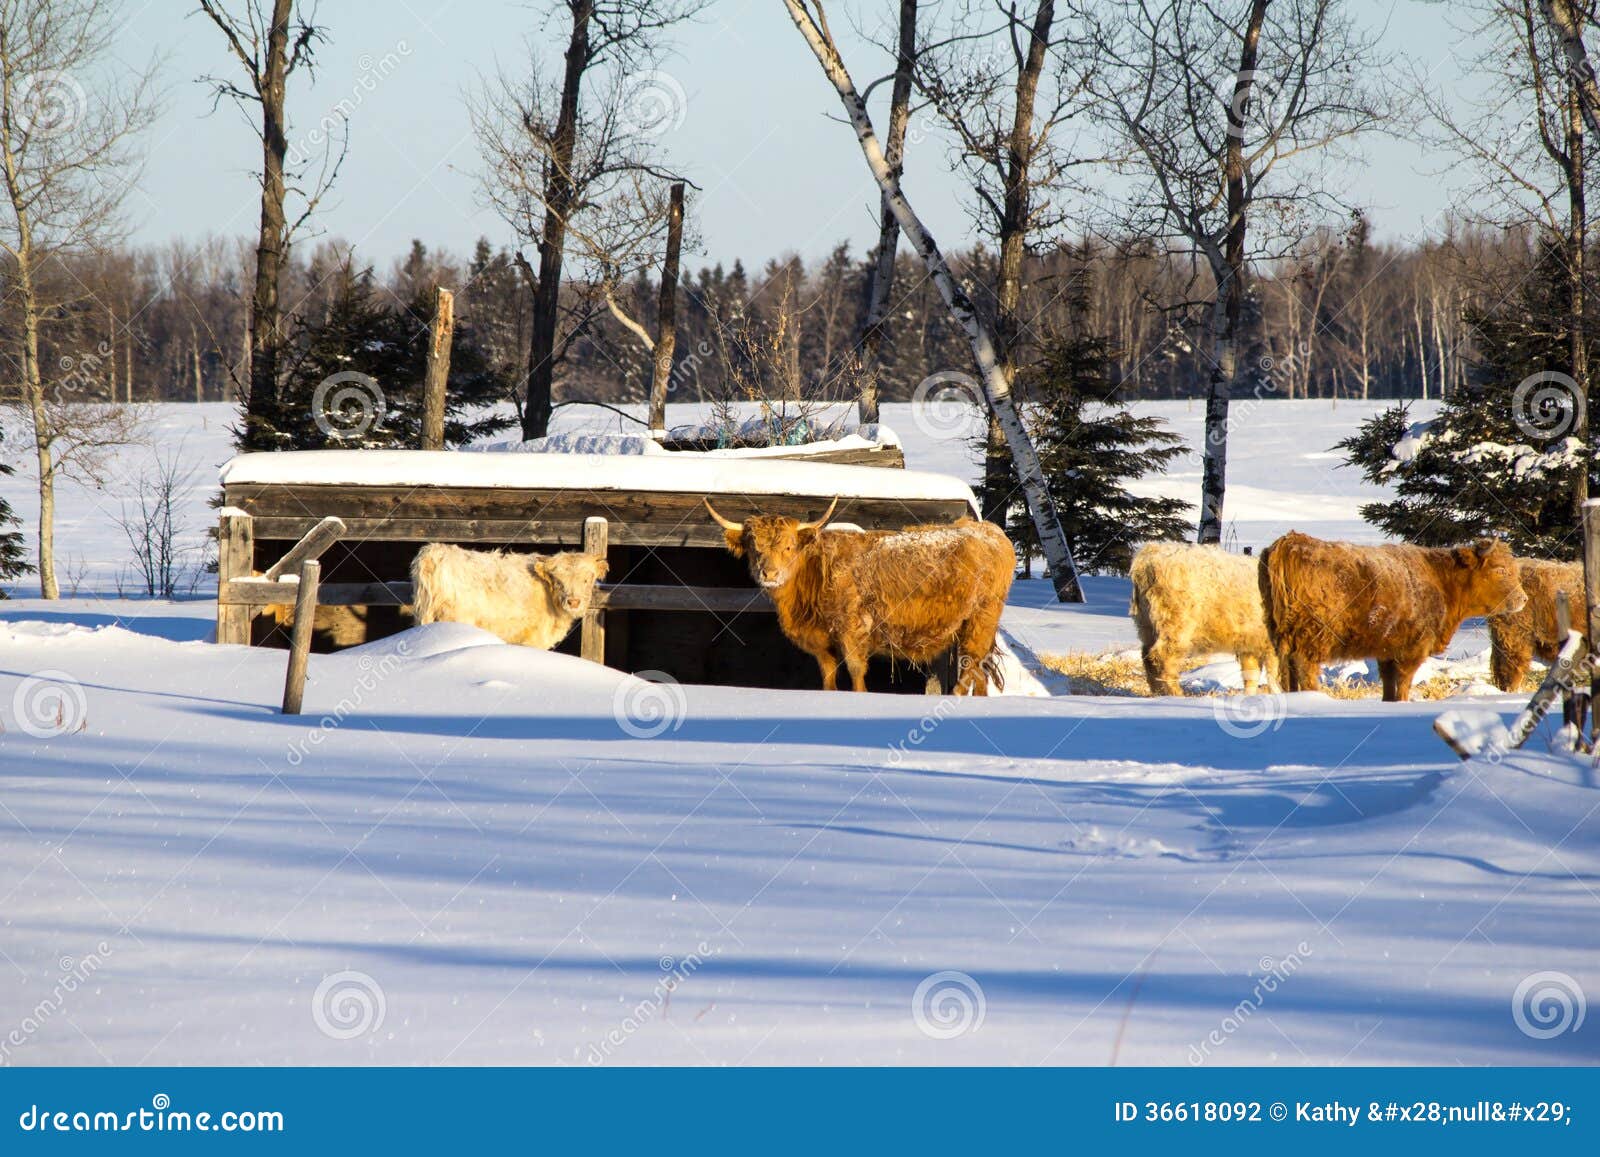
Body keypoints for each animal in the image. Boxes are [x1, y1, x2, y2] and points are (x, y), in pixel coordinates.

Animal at [704, 498, 1014, 694]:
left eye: (789, 547)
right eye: (754, 547)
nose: (768, 573)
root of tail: (990, 531)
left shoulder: (851, 630)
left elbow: (855, 670)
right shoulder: (823, 642)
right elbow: (828, 675)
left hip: (981, 617)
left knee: (971, 663)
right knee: (979, 670)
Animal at [1129, 542, 1279, 696]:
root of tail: (1149, 555)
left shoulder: (1250, 645)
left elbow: (1251, 677)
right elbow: (1274, 677)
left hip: (1147, 626)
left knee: (1147, 658)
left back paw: (1159, 693)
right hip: (1175, 625)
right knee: (1162, 658)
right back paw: (1177, 694)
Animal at [1258, 531, 1526, 702]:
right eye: (1500, 570)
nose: (1523, 599)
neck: (1441, 581)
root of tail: (1290, 542)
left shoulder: (1388, 649)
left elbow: (1389, 684)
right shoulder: (1414, 648)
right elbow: (1403, 683)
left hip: (1283, 637)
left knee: (1289, 673)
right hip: (1311, 637)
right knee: (1305, 670)